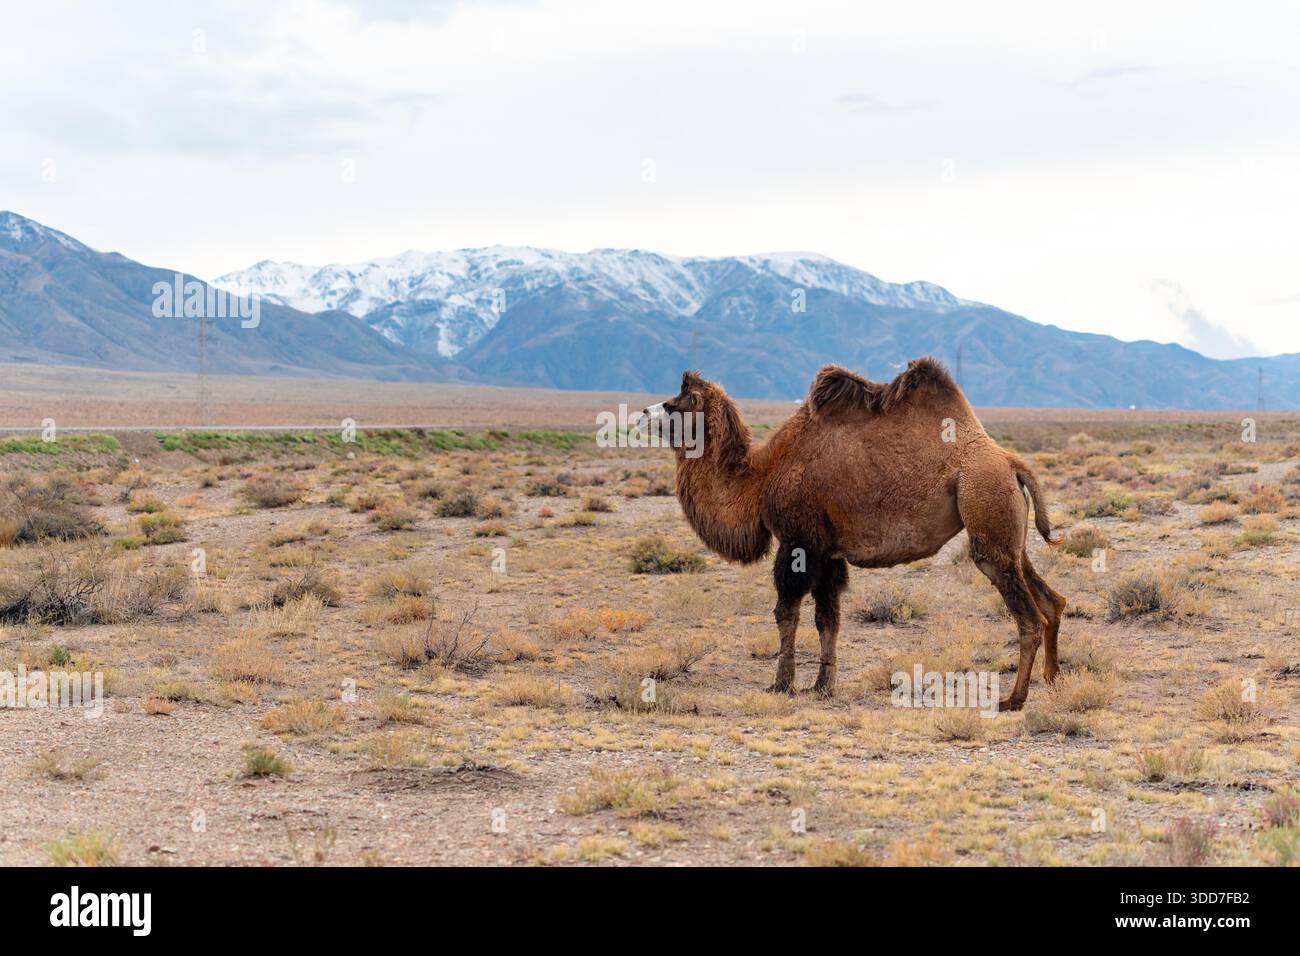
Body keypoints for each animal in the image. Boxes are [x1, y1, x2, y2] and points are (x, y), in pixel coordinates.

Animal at [642, 358, 1066, 711]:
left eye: (675, 403)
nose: (642, 413)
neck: (762, 477)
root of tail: (1011, 463)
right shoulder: (827, 550)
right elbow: (827, 617)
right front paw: (822, 685)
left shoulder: (798, 541)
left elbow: (786, 612)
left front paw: (781, 684)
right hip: (1006, 534)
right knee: (1051, 600)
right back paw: (1053, 679)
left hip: (984, 508)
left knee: (1028, 618)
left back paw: (1013, 699)